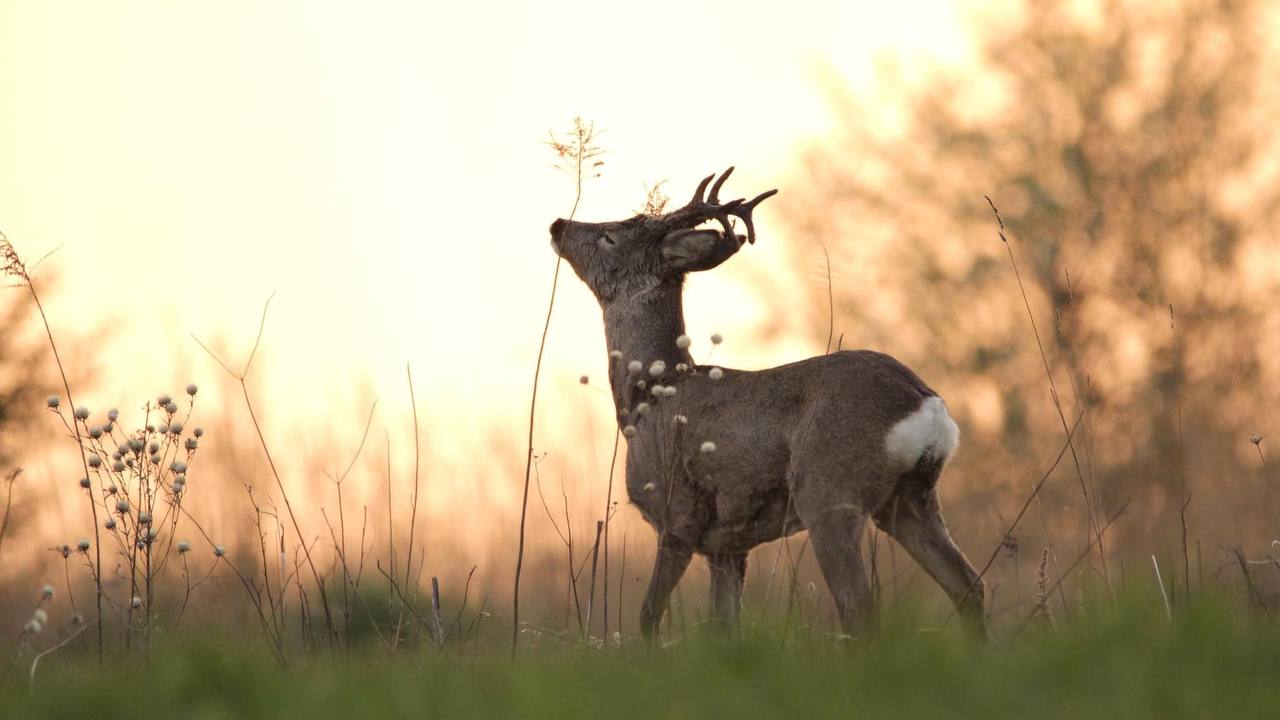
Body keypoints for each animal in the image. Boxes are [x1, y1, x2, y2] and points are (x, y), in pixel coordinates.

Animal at [548, 168, 986, 642]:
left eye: (610, 236)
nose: (558, 224)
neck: (651, 394)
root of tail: (926, 405)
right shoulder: (727, 546)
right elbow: (724, 629)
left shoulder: (677, 515)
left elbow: (648, 619)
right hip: (910, 499)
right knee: (969, 585)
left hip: (829, 493)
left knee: (861, 609)